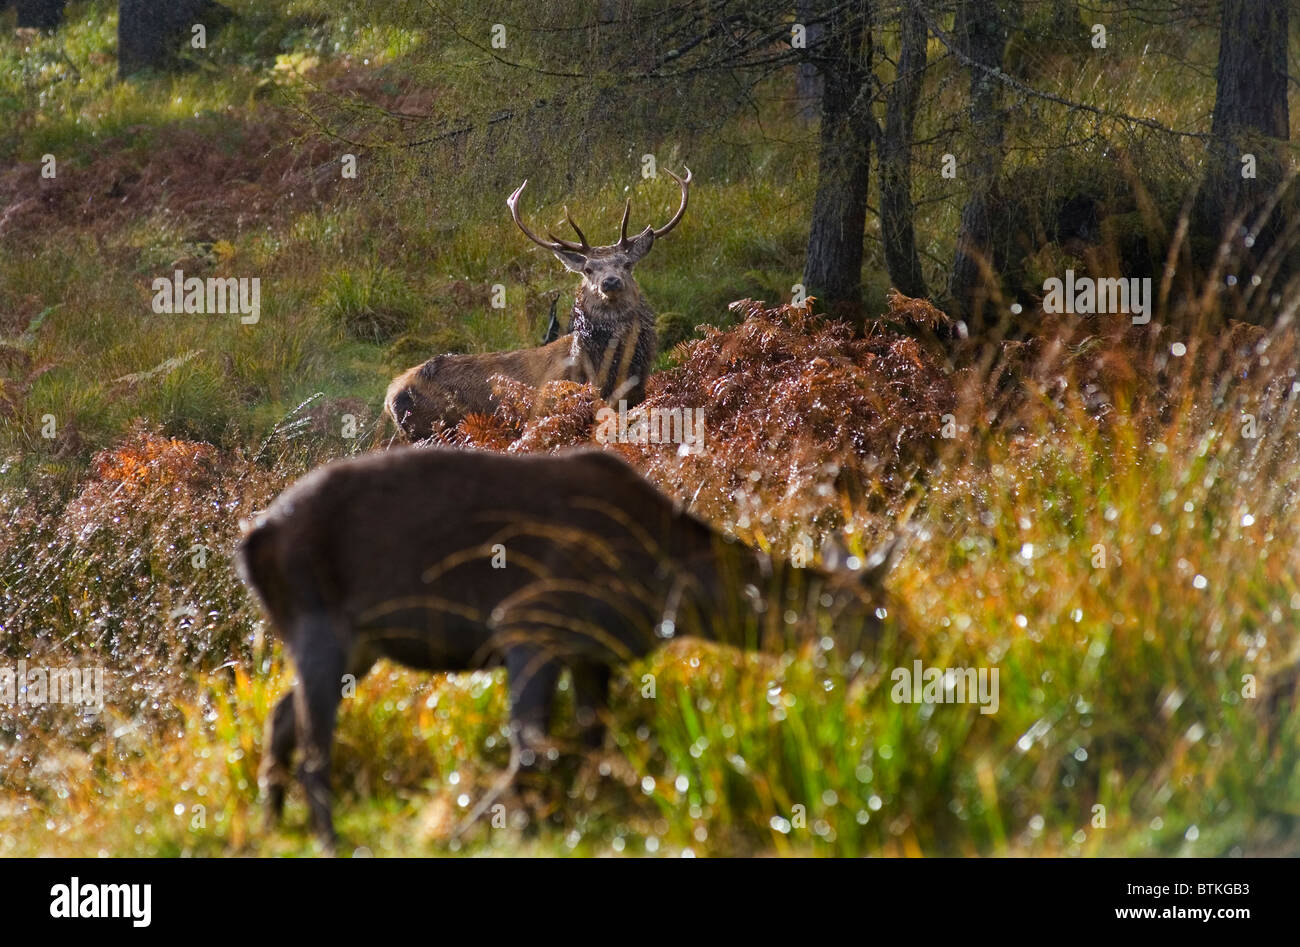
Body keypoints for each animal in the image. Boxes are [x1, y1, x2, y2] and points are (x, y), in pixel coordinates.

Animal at [237, 446, 896, 848]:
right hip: (318, 620)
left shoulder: (592, 653)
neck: (666, 591)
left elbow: (590, 741)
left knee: (281, 716)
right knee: (316, 745)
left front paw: (582, 820)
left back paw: (270, 825)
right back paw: (331, 840)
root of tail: (251, 540)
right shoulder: (531, 623)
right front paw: (473, 831)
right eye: (869, 623)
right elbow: (531, 749)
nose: (891, 684)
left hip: (359, 645)